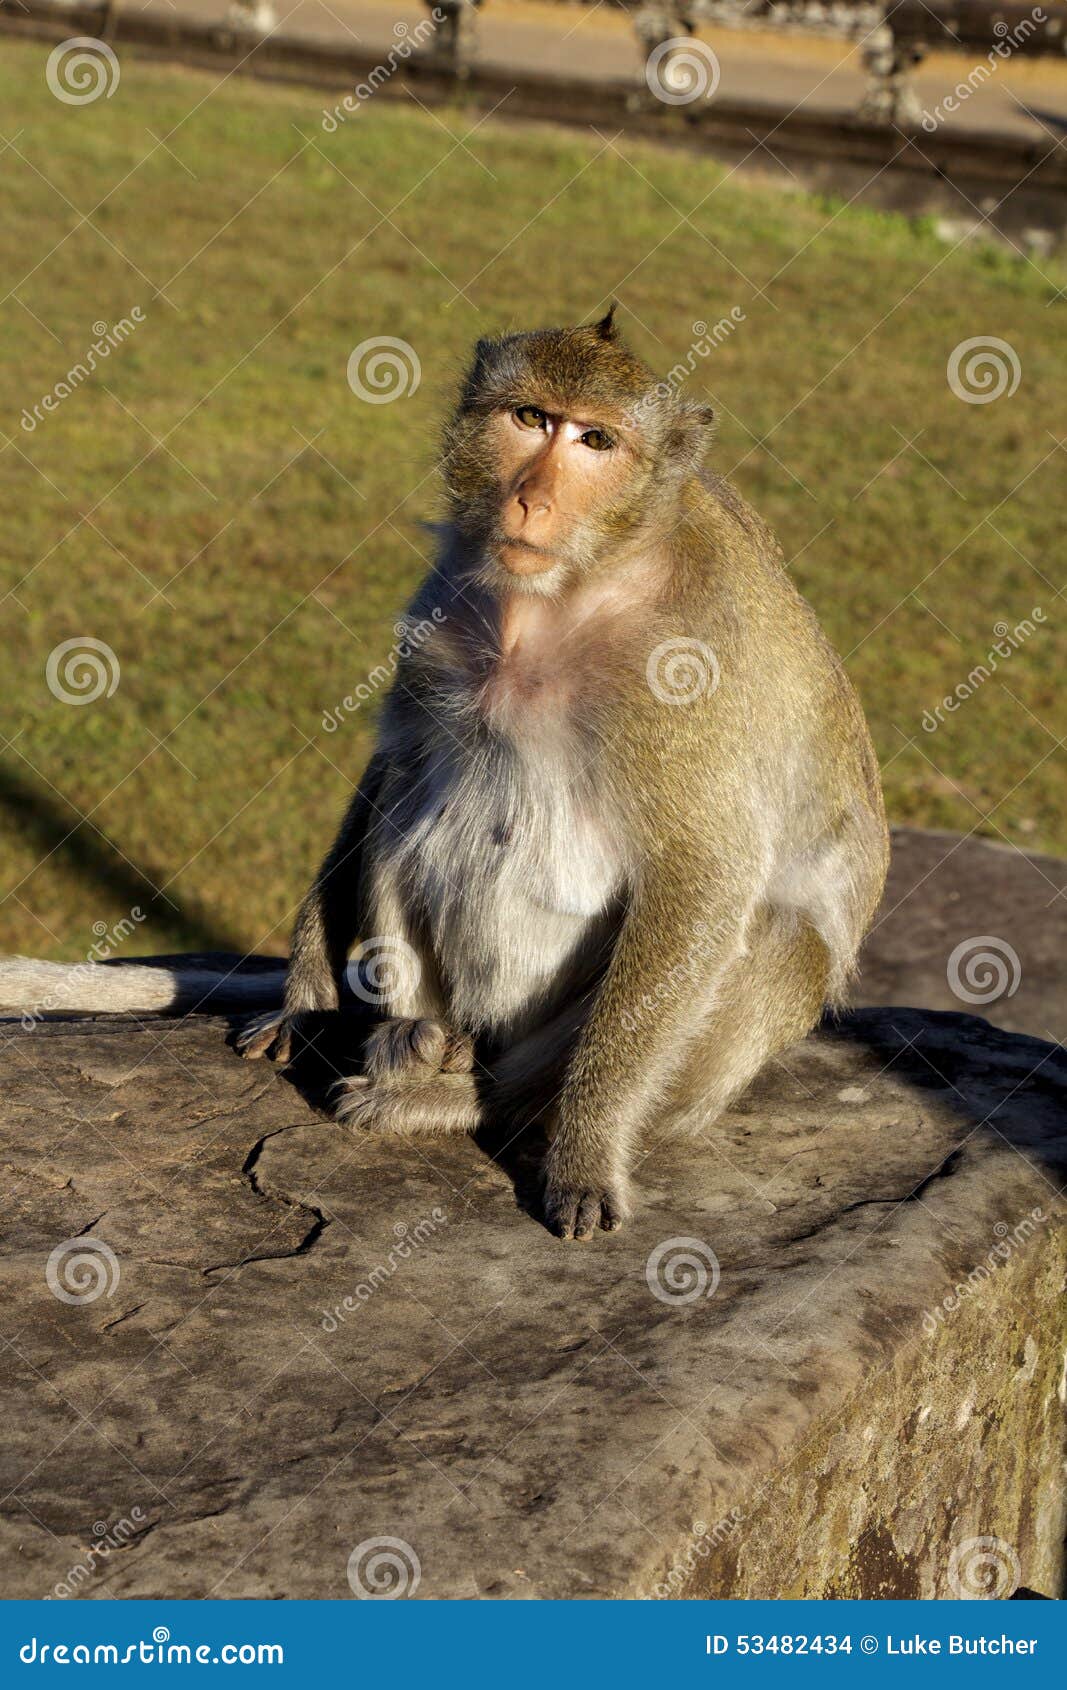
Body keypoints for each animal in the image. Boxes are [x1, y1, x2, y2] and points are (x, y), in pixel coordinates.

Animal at [0, 309, 889, 1242]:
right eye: (531, 418)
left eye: (596, 440)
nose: (531, 496)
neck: (570, 589)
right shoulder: (443, 602)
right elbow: (395, 761)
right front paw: (305, 991)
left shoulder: (686, 664)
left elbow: (703, 878)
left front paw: (585, 1149)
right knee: (408, 804)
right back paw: (413, 1042)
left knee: (778, 941)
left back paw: (463, 1102)